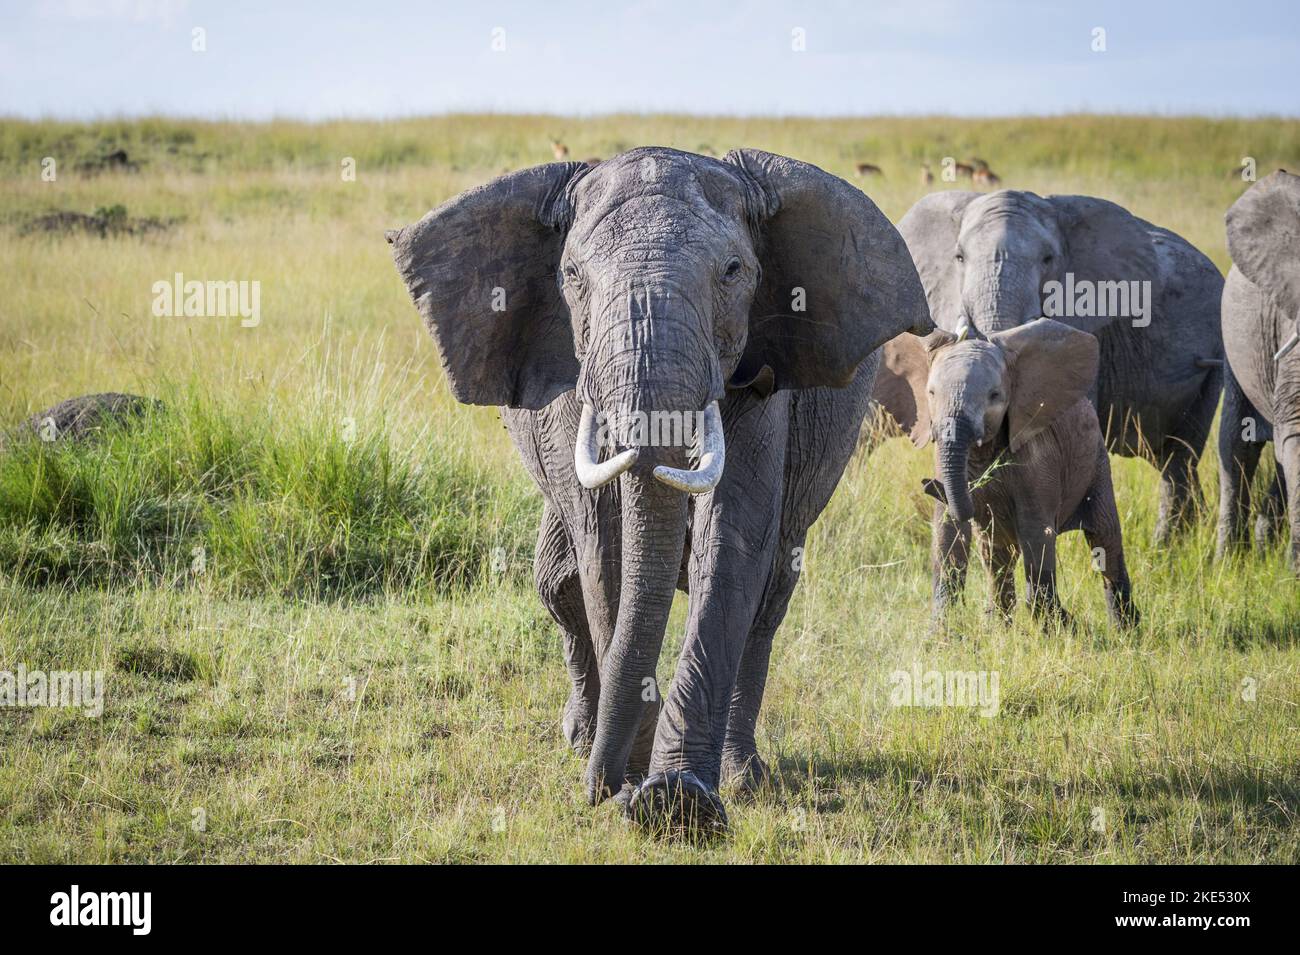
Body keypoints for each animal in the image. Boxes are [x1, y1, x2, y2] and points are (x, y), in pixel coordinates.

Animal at [387, 147, 932, 832]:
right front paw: (631, 786)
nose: (597, 790)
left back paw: (740, 774)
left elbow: (731, 546)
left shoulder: (759, 374)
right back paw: (583, 740)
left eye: (733, 271)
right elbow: (605, 549)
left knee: (770, 595)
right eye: (571, 275)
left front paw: (677, 800)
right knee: (558, 583)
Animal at [878, 320, 1138, 629]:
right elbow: (948, 531)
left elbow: (1036, 530)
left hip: (1096, 462)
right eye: (930, 394)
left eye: (994, 396)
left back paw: (1126, 630)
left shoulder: (1038, 456)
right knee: (997, 554)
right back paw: (998, 626)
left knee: (1105, 540)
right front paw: (942, 633)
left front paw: (1056, 627)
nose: (927, 483)